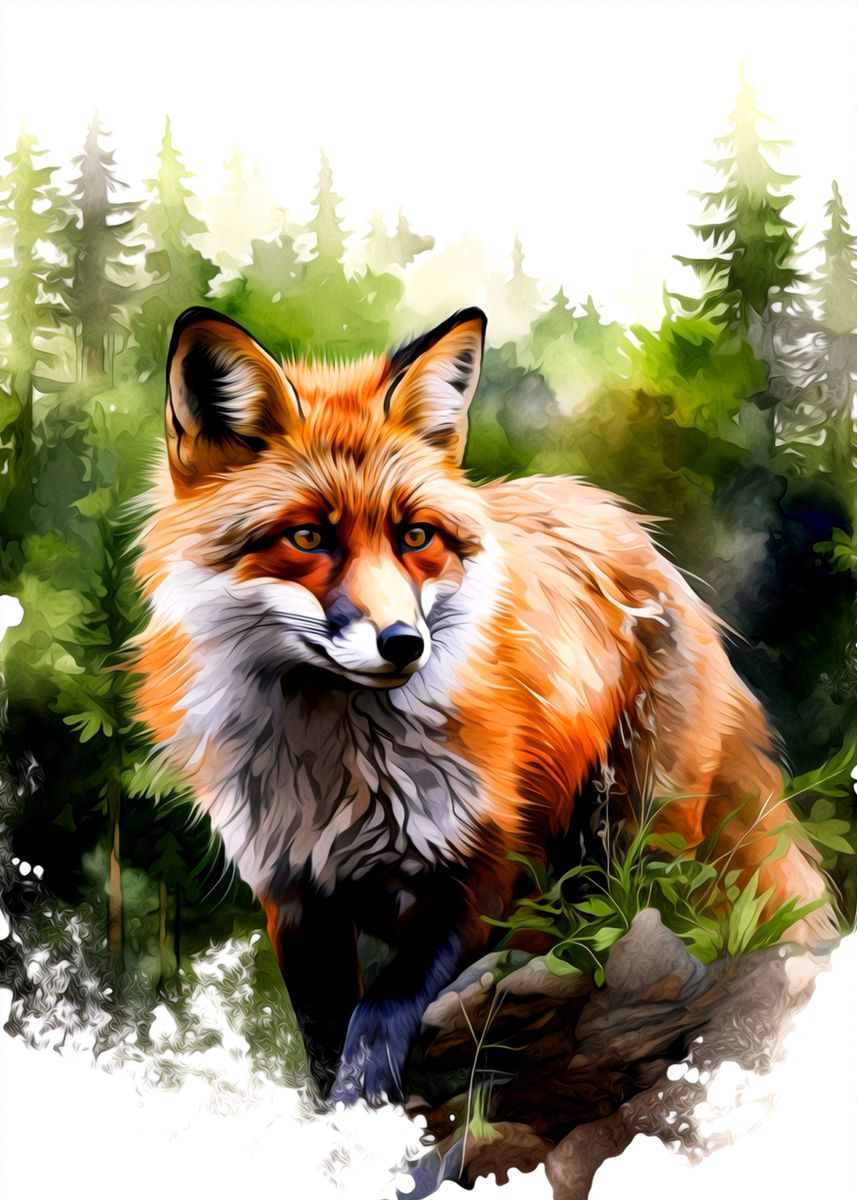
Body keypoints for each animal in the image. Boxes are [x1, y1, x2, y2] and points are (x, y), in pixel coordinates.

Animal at [132, 304, 837, 1106]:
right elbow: (323, 1039)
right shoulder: (296, 895)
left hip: (632, 835)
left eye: (415, 536)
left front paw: (366, 1102)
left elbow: (381, 1010)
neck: (336, 771)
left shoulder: (486, 874)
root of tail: (631, 529)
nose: (403, 643)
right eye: (307, 537)